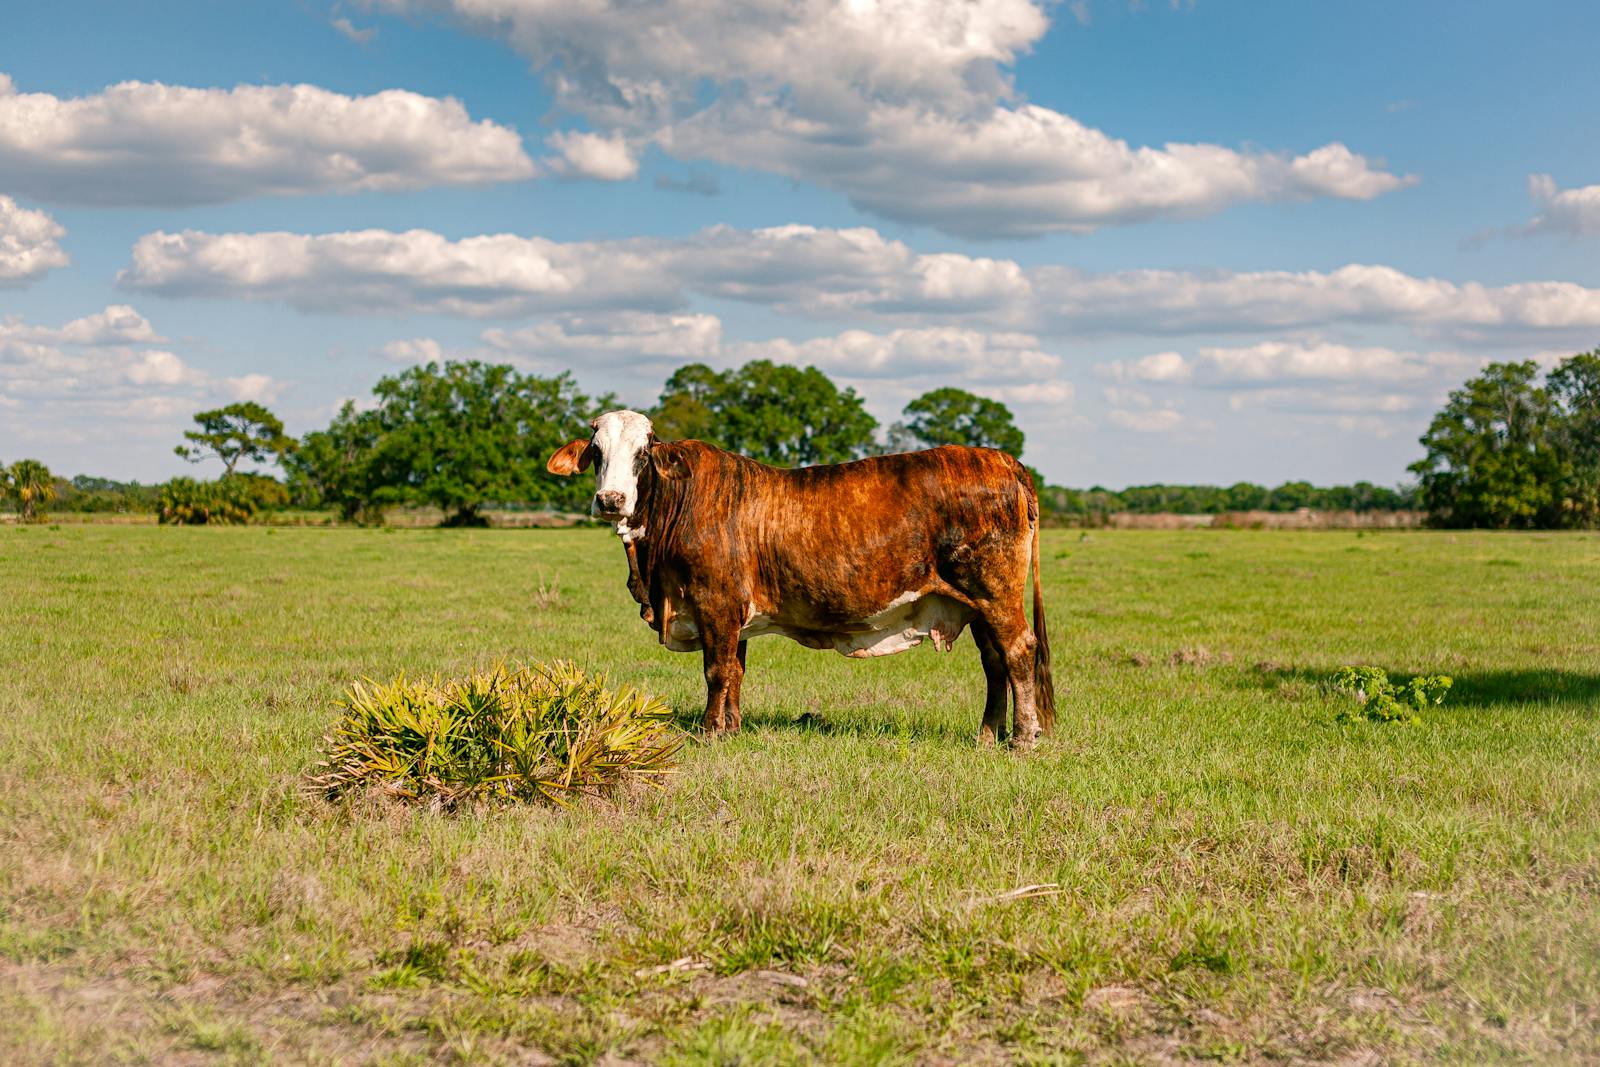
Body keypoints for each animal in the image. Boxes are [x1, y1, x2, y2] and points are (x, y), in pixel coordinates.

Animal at [547, 410, 1055, 745]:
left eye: (643, 453)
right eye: (596, 452)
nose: (611, 500)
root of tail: (1003, 460)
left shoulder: (715, 602)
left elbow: (716, 670)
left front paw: (711, 733)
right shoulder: (734, 614)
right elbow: (736, 670)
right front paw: (732, 728)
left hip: (996, 594)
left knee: (1018, 651)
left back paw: (1023, 738)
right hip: (977, 604)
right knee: (994, 662)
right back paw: (988, 734)